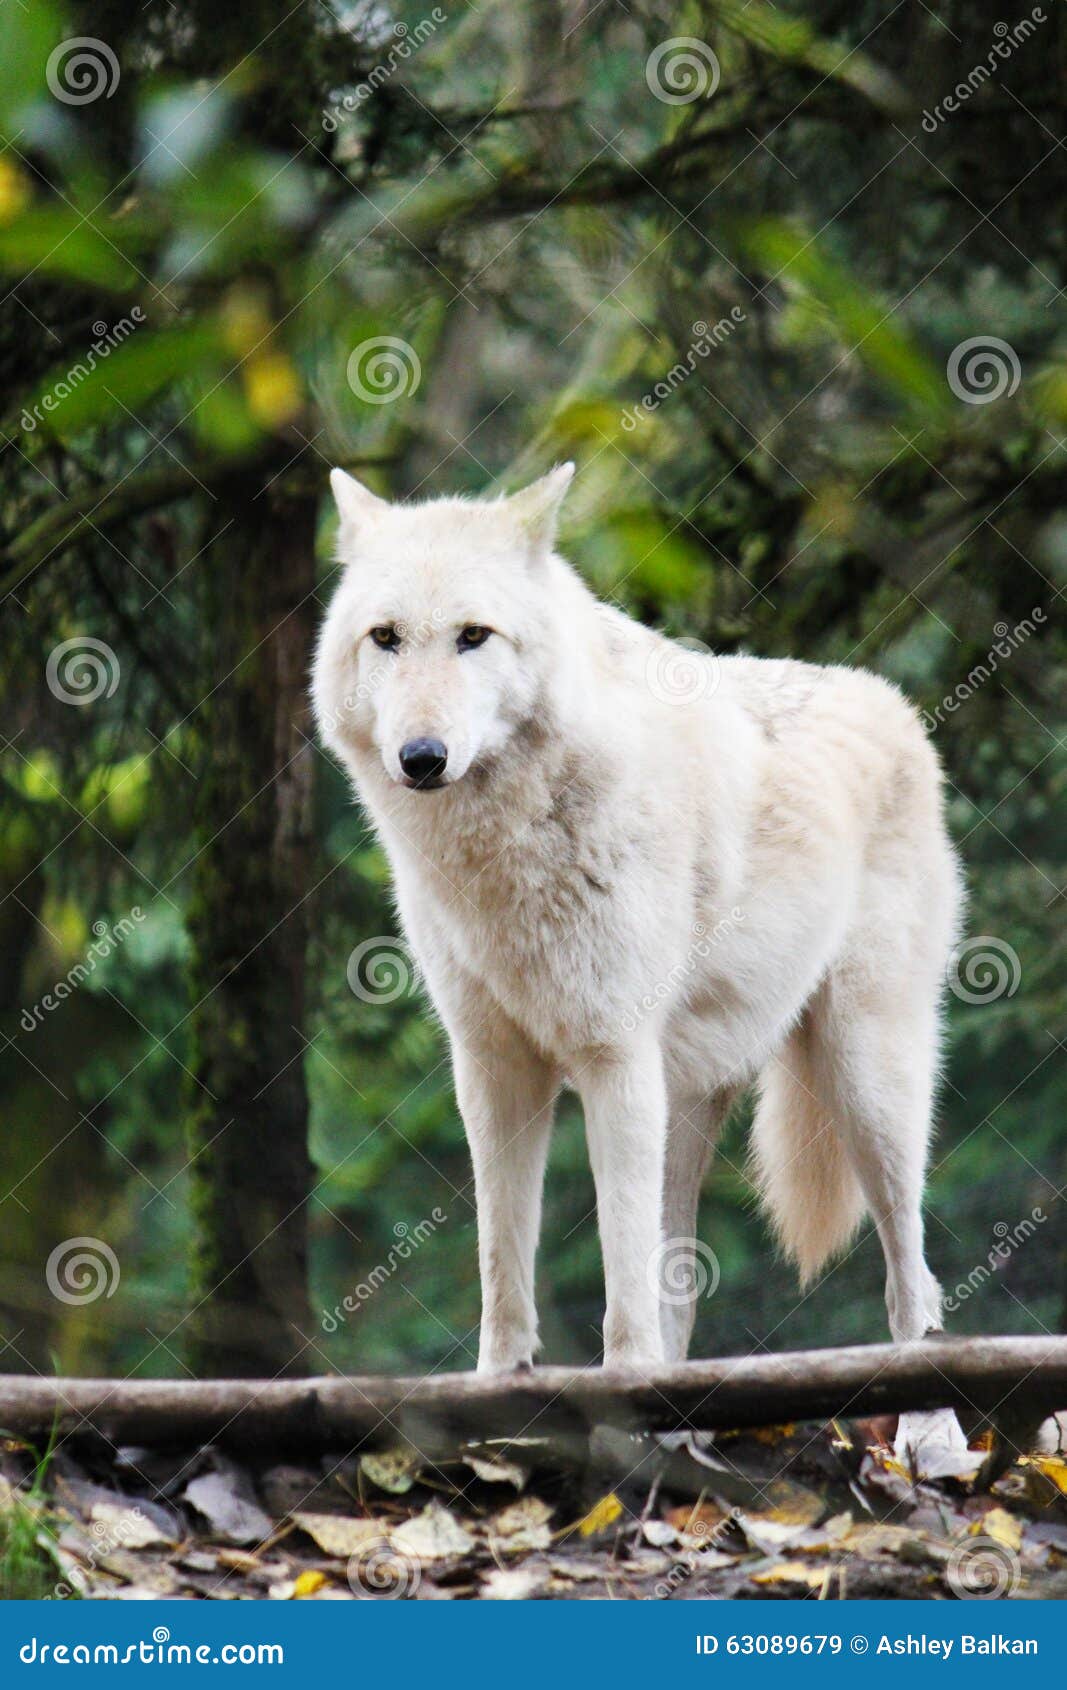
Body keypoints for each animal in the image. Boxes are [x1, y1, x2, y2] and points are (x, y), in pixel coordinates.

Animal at [313, 463, 963, 1409]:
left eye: (473, 636)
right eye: (385, 638)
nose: (421, 757)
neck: (504, 856)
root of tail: (893, 703)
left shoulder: (611, 1054)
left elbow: (617, 1260)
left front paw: (620, 1381)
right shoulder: (492, 1068)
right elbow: (502, 1256)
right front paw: (499, 1380)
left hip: (865, 1081)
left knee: (912, 1284)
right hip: (689, 1103)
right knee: (684, 1299)